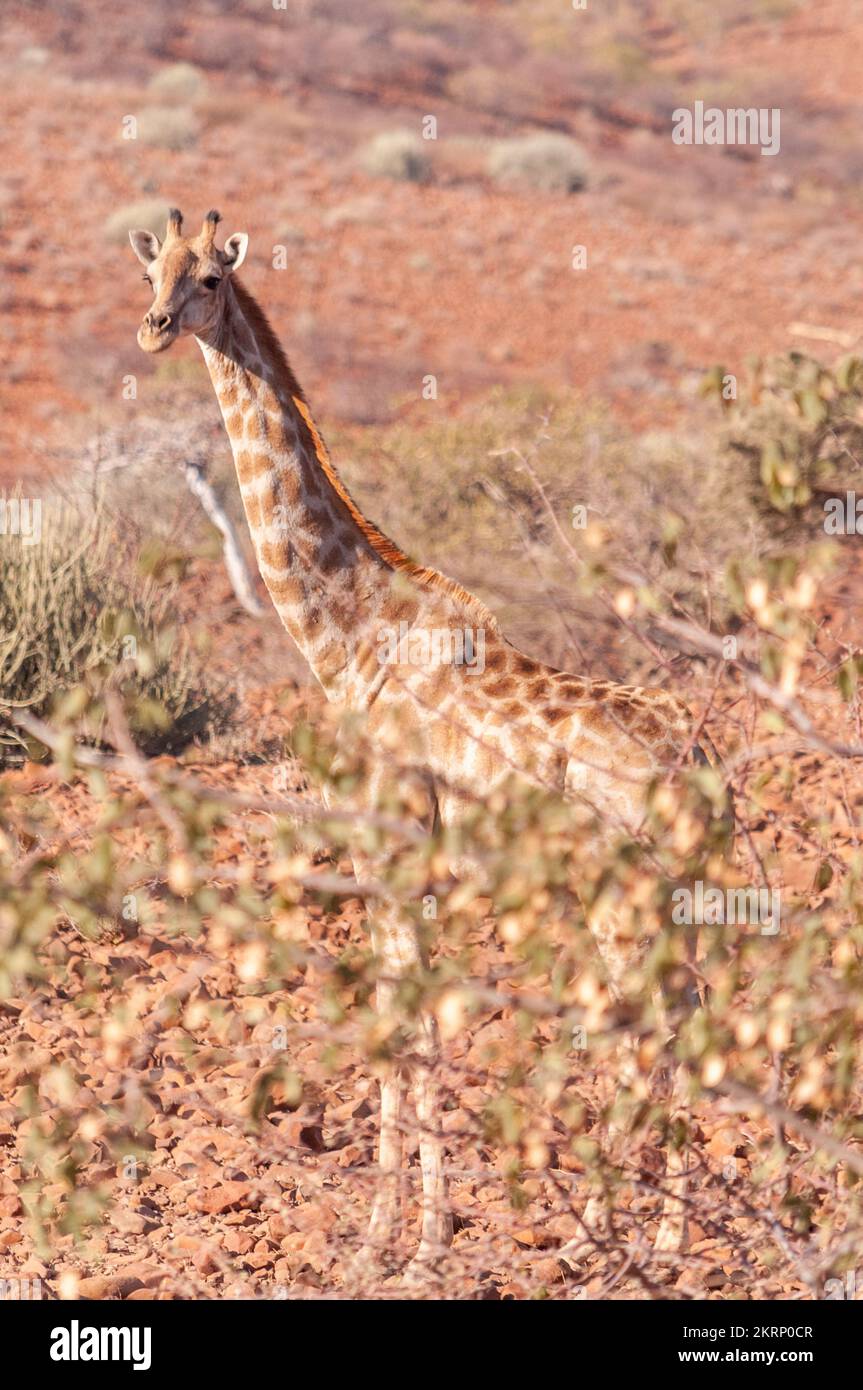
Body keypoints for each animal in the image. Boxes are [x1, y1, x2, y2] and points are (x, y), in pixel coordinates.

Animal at [130, 209, 710, 1272]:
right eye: (151, 272)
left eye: (210, 281)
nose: (153, 329)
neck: (343, 629)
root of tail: (701, 766)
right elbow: (414, 1025)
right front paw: (410, 1233)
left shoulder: (390, 846)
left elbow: (406, 1028)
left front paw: (400, 1243)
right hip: (672, 904)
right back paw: (661, 1242)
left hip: (624, 906)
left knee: (653, 1036)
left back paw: (600, 1245)